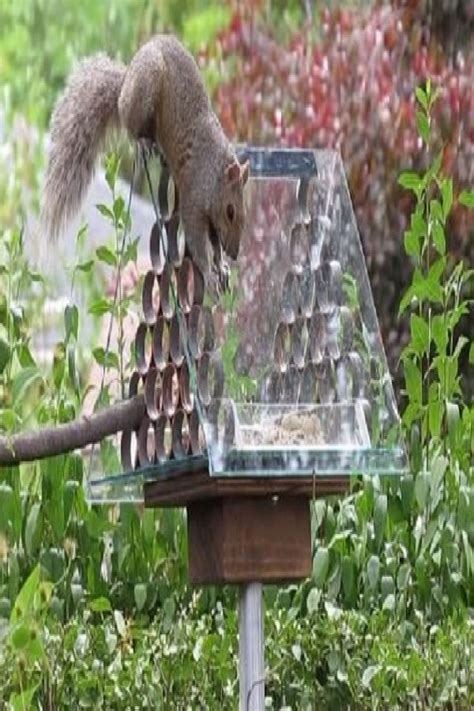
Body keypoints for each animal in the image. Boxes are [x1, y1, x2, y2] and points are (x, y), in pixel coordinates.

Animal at [41, 34, 249, 292]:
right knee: (133, 128)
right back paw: (142, 142)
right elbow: (197, 240)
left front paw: (222, 267)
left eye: (244, 213)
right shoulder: (194, 197)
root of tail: (124, 87)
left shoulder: (212, 214)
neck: (214, 174)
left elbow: (214, 240)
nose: (235, 253)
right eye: (230, 211)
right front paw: (210, 275)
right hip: (144, 91)